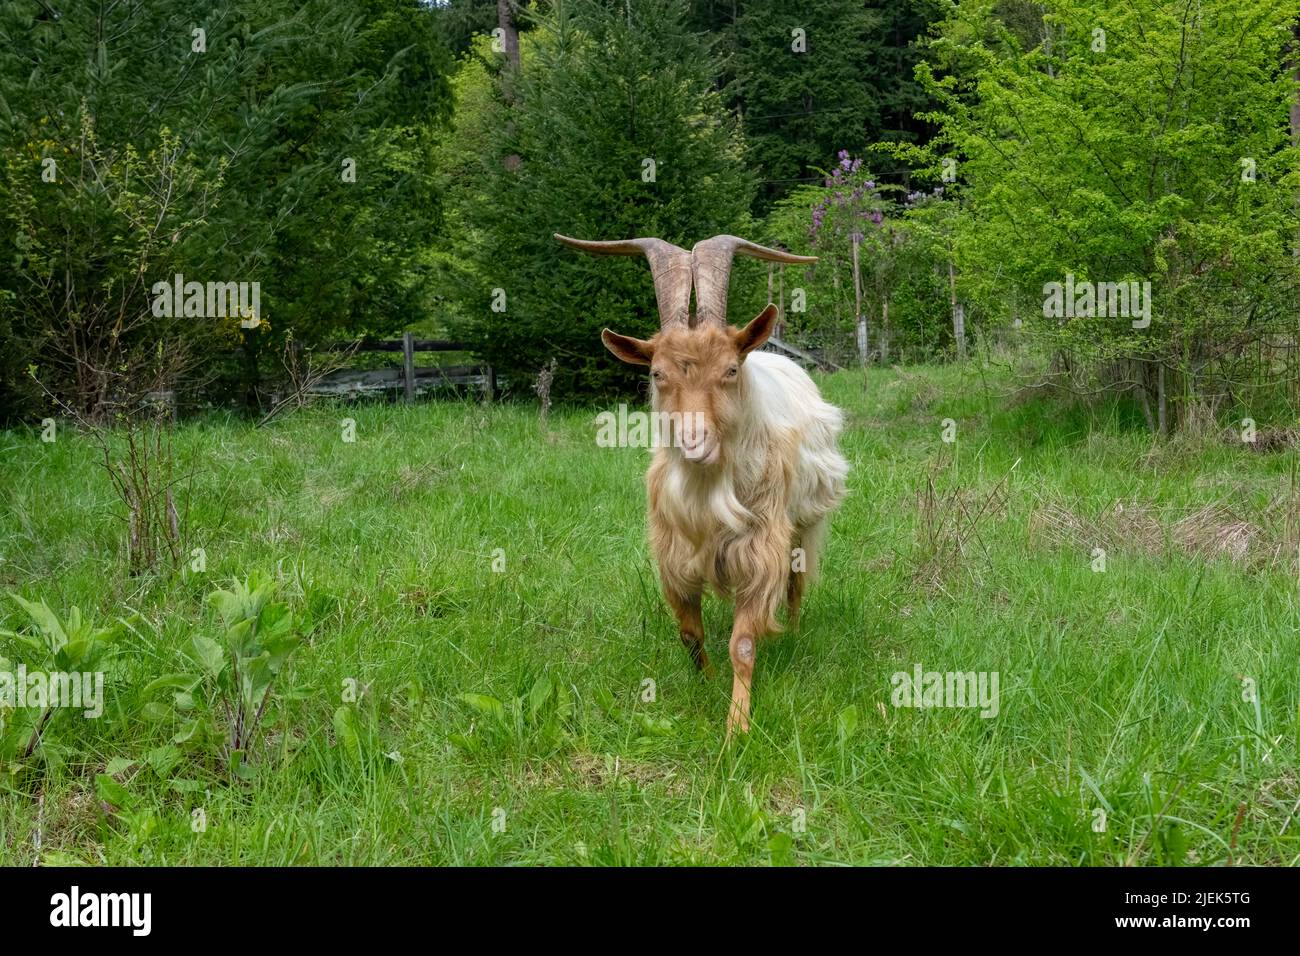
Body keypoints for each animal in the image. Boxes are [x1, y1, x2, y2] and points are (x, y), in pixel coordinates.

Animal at [555, 233, 848, 736]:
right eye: (657, 373)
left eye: (730, 369)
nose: (695, 441)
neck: (708, 488)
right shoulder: (674, 552)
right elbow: (690, 632)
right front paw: (706, 682)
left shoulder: (760, 545)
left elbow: (744, 642)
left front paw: (737, 726)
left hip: (805, 520)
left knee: (796, 581)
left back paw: (792, 630)